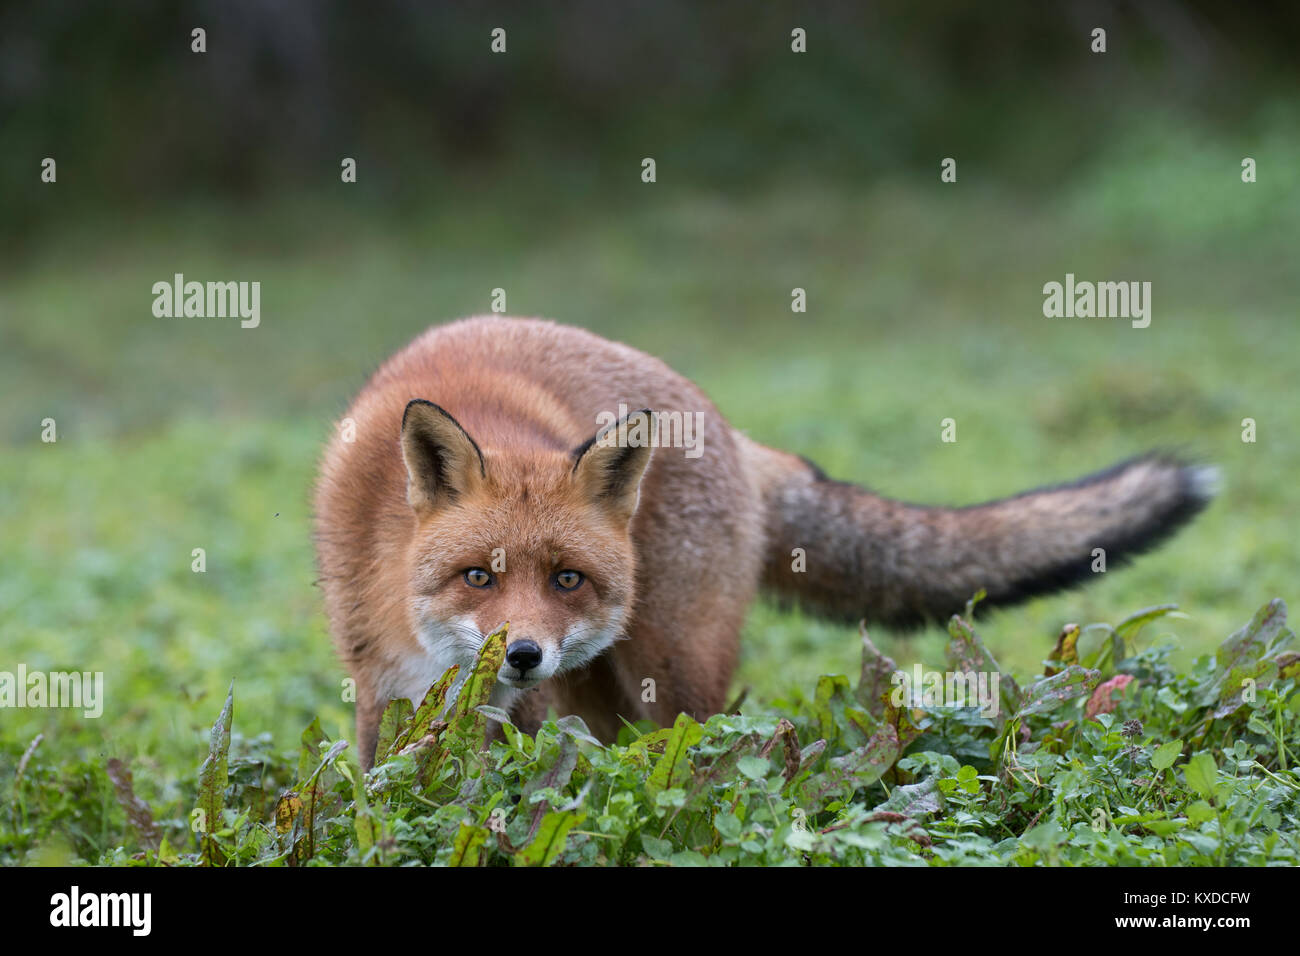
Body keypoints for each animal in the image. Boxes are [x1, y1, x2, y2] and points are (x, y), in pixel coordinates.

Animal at [313, 316, 1215, 768]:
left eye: (567, 580)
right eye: (477, 576)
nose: (524, 654)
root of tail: (730, 429)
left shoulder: (516, 708)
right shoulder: (379, 689)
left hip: (667, 670)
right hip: (599, 689)